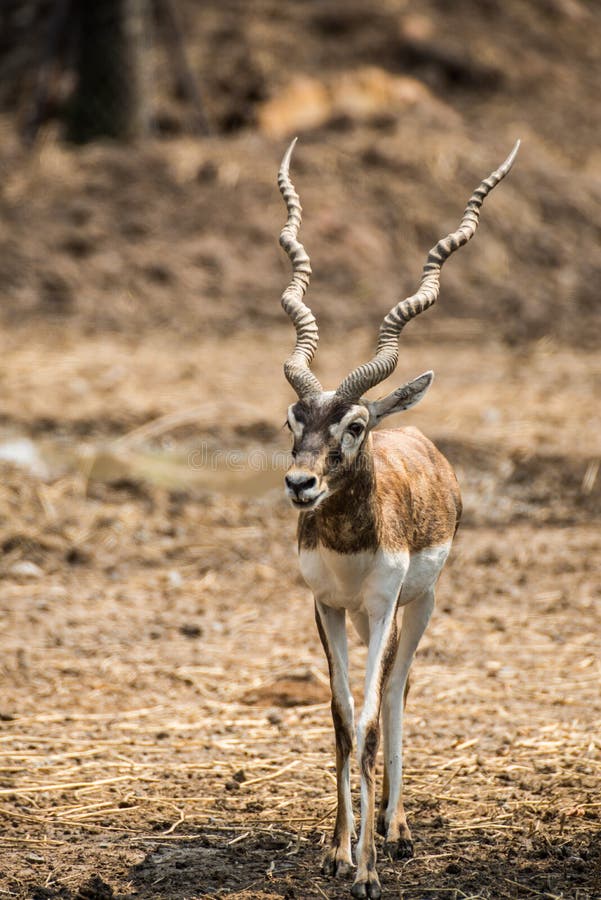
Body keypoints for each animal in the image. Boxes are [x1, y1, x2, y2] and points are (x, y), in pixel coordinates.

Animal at [276, 138, 518, 897]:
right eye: (294, 419)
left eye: (354, 425)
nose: (300, 483)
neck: (348, 541)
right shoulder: (324, 605)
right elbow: (340, 721)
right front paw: (335, 852)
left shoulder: (384, 604)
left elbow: (373, 719)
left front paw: (366, 871)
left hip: (422, 605)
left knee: (398, 690)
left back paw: (397, 827)